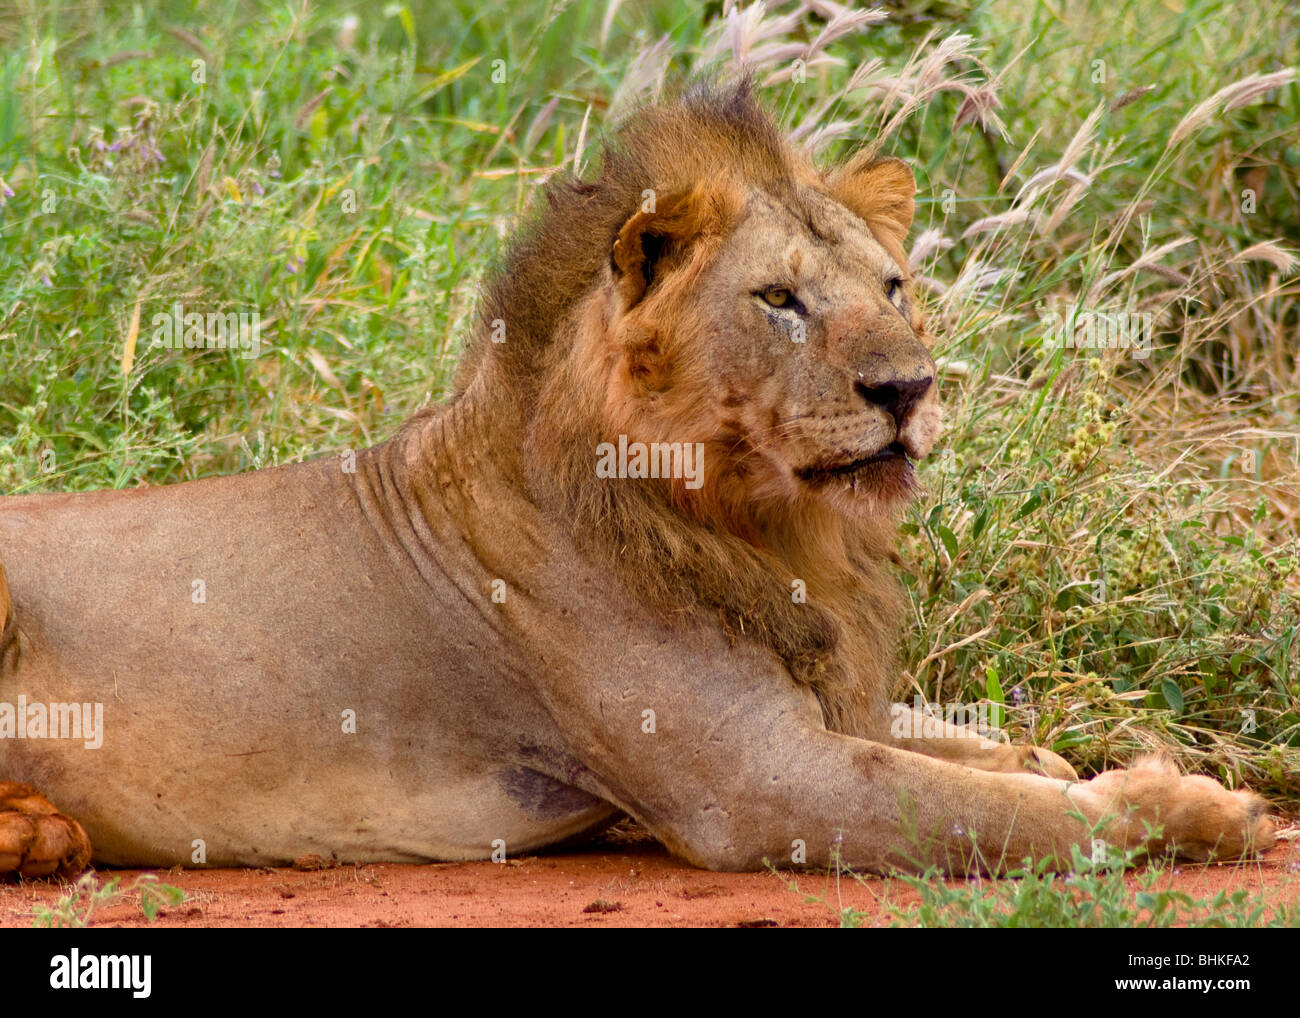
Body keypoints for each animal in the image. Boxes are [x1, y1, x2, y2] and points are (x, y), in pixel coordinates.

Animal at [0, 80, 1273, 878]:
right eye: (779, 299)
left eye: (893, 286)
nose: (909, 387)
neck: (768, 528)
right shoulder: (753, 784)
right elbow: (985, 812)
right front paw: (1194, 808)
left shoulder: (822, 700)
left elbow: (969, 747)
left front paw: (1053, 757)